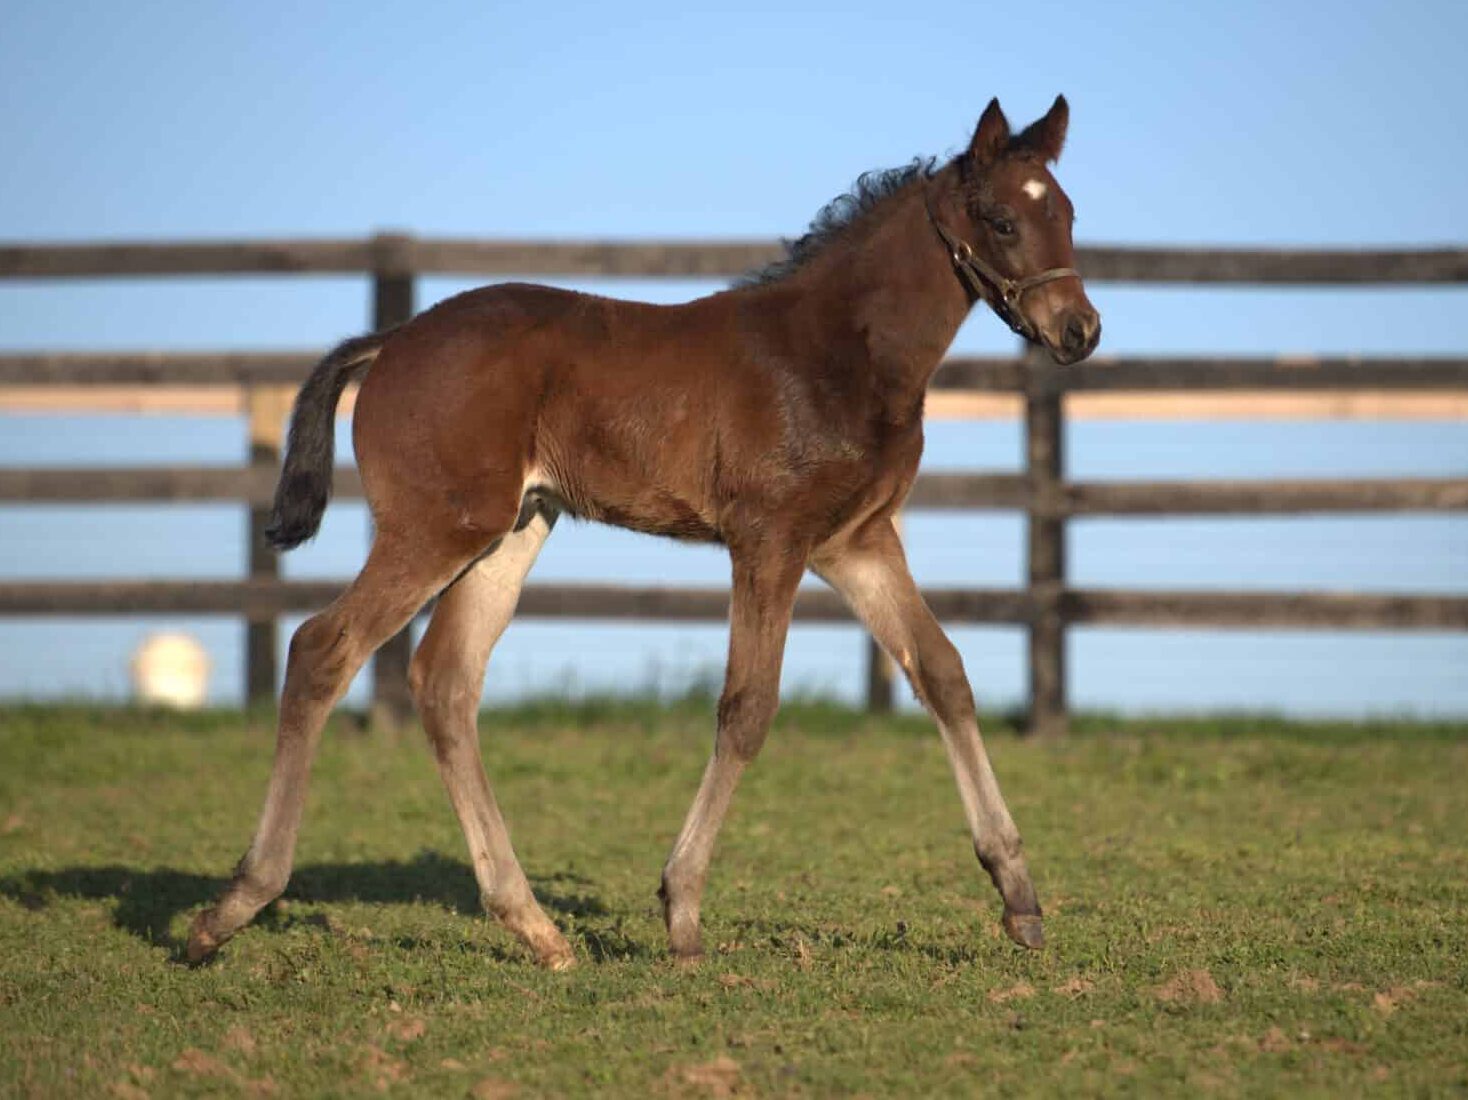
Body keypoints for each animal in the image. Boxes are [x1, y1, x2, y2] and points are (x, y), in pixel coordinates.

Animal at [186, 96, 1101, 969]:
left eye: (1068, 213)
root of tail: (390, 344)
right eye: (1003, 220)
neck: (839, 351)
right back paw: (233, 907)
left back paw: (536, 929)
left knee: (444, 681)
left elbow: (942, 673)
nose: (1080, 330)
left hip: (511, 528)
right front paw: (683, 914)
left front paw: (1020, 899)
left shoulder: (858, 541)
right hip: (434, 527)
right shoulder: (769, 538)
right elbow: (747, 706)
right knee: (322, 648)